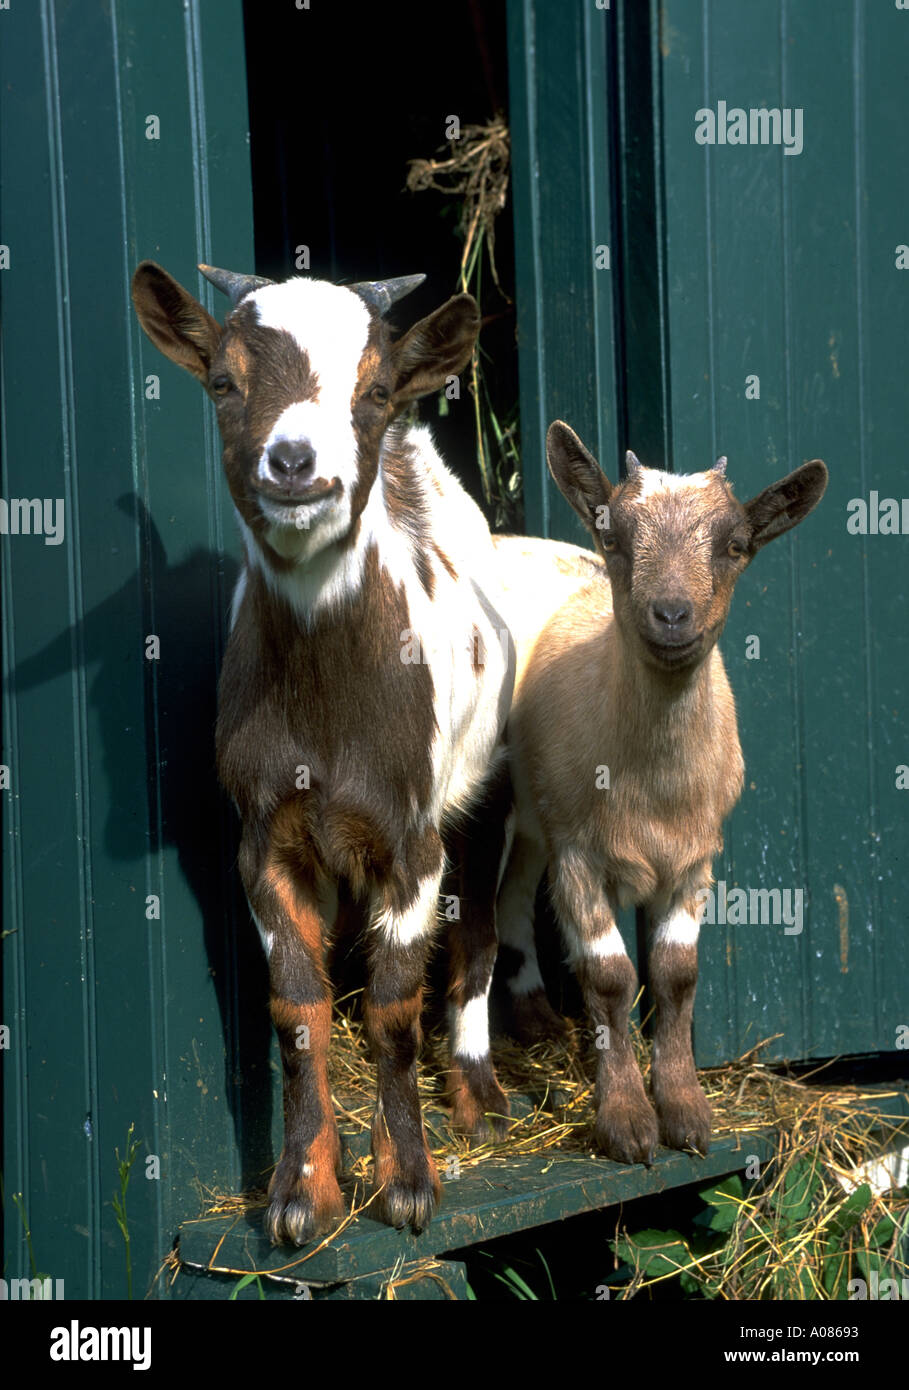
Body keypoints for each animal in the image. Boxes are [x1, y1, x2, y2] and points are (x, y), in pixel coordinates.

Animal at [131, 261, 513, 1244]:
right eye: (223, 383)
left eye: (372, 392)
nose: (295, 463)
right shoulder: (265, 836)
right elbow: (296, 1007)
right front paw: (302, 1191)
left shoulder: (411, 839)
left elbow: (392, 1009)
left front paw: (408, 1183)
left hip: (491, 788)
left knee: (480, 930)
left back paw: (476, 1095)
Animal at [494, 421, 827, 1162]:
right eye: (613, 536)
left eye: (735, 545)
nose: (671, 614)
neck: (651, 788)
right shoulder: (580, 854)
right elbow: (610, 978)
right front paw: (626, 1123)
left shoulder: (695, 857)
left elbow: (676, 974)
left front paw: (685, 1112)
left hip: (535, 813)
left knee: (515, 885)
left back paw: (533, 1012)